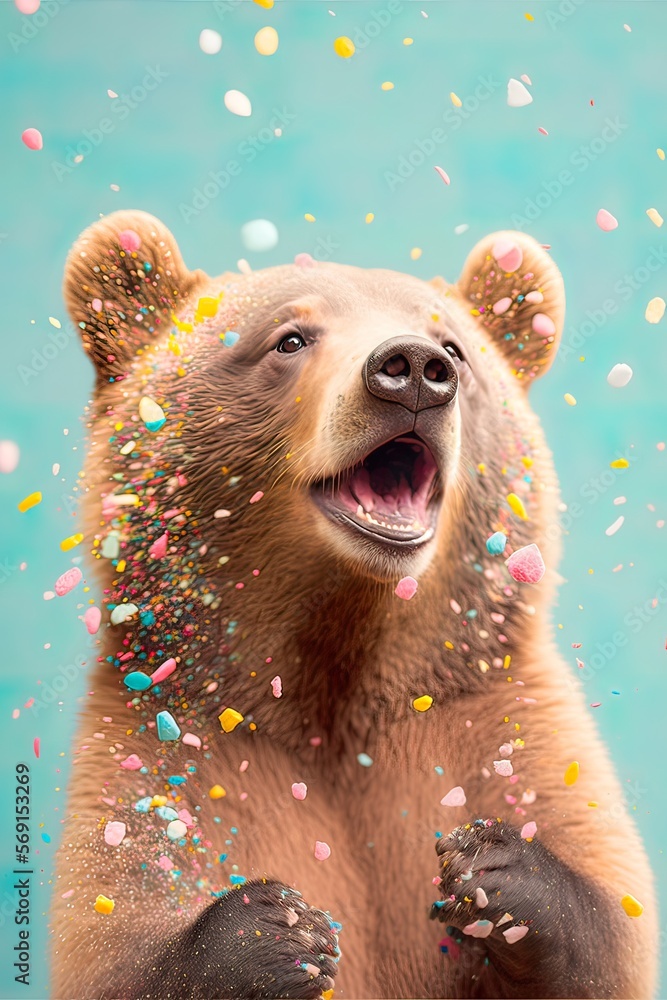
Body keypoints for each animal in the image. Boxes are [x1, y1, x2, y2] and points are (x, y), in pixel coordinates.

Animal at [50, 209, 657, 1000]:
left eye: (455, 347)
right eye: (288, 338)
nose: (413, 368)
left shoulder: (494, 717)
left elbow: (611, 916)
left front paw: (495, 868)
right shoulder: (168, 740)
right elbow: (119, 927)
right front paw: (278, 930)